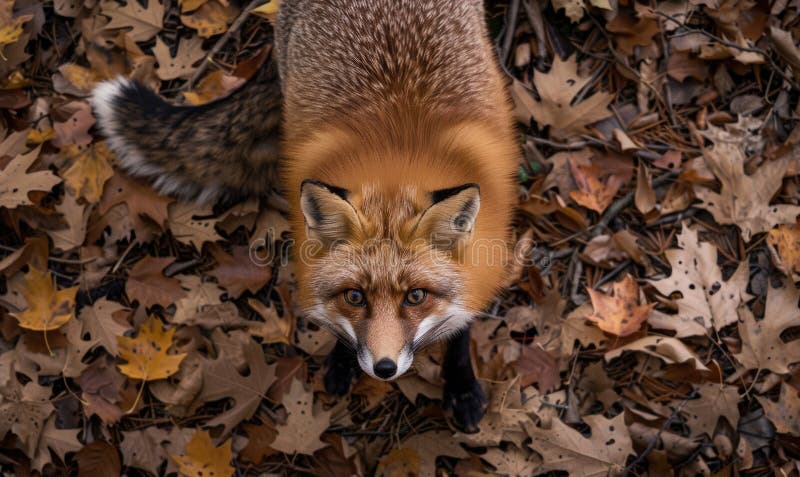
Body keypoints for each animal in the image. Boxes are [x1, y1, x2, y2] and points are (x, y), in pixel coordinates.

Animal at [92, 0, 520, 431]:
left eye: (416, 297)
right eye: (354, 296)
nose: (383, 368)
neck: (397, 168)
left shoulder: (485, 255)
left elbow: (462, 327)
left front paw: (462, 387)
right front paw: (343, 362)